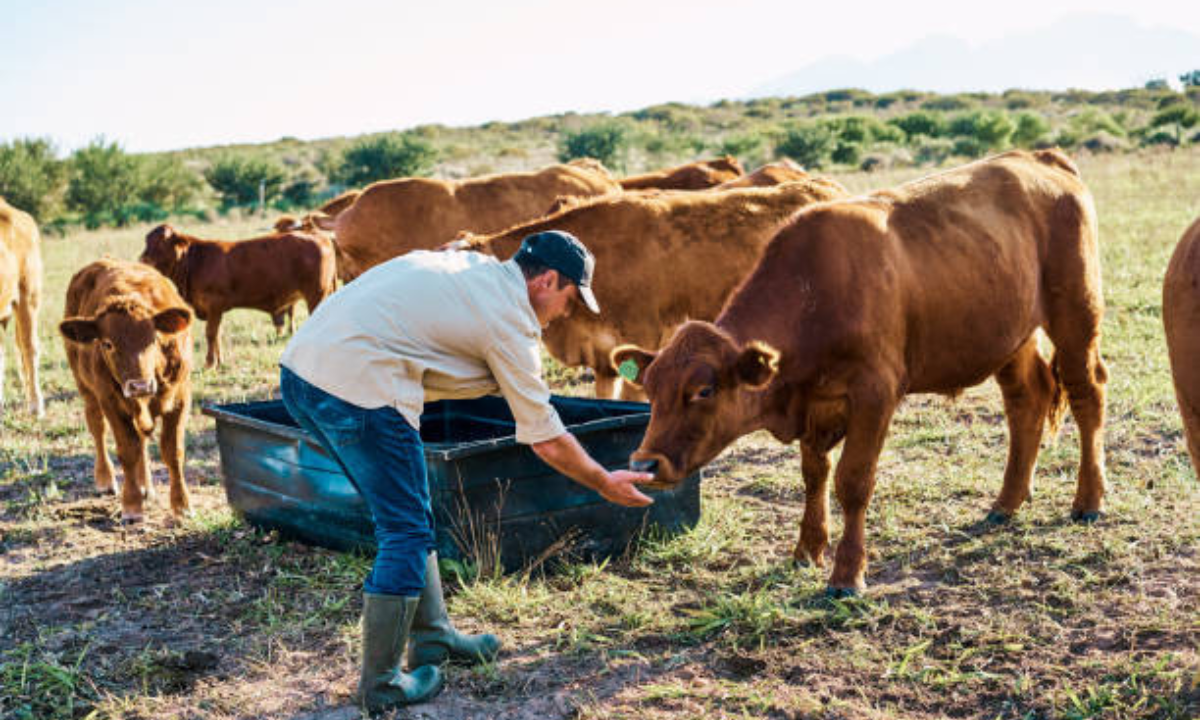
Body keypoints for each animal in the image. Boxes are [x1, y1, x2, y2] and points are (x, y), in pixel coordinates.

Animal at [60, 259, 194, 522]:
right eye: (107, 344)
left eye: (153, 338)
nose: (140, 385)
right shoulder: (110, 401)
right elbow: (127, 450)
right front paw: (132, 505)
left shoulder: (181, 397)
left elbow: (173, 451)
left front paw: (181, 504)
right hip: (86, 389)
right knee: (97, 428)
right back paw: (106, 479)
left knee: (141, 437)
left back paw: (146, 486)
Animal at [139, 224, 336, 368]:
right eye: (147, 240)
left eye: (162, 241)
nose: (143, 260)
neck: (195, 262)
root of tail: (317, 235)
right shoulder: (215, 310)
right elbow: (217, 334)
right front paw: (219, 361)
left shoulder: (214, 305)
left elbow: (210, 333)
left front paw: (209, 363)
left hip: (316, 294)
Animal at [611, 149, 1108, 596]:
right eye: (650, 389)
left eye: (704, 390)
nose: (643, 463)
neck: (815, 294)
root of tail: (1040, 158)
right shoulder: (815, 403)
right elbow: (814, 476)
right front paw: (807, 551)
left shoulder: (874, 395)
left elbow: (852, 482)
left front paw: (847, 575)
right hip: (1011, 337)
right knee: (1027, 401)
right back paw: (1007, 502)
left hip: (1076, 316)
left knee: (1087, 394)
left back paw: (1088, 500)